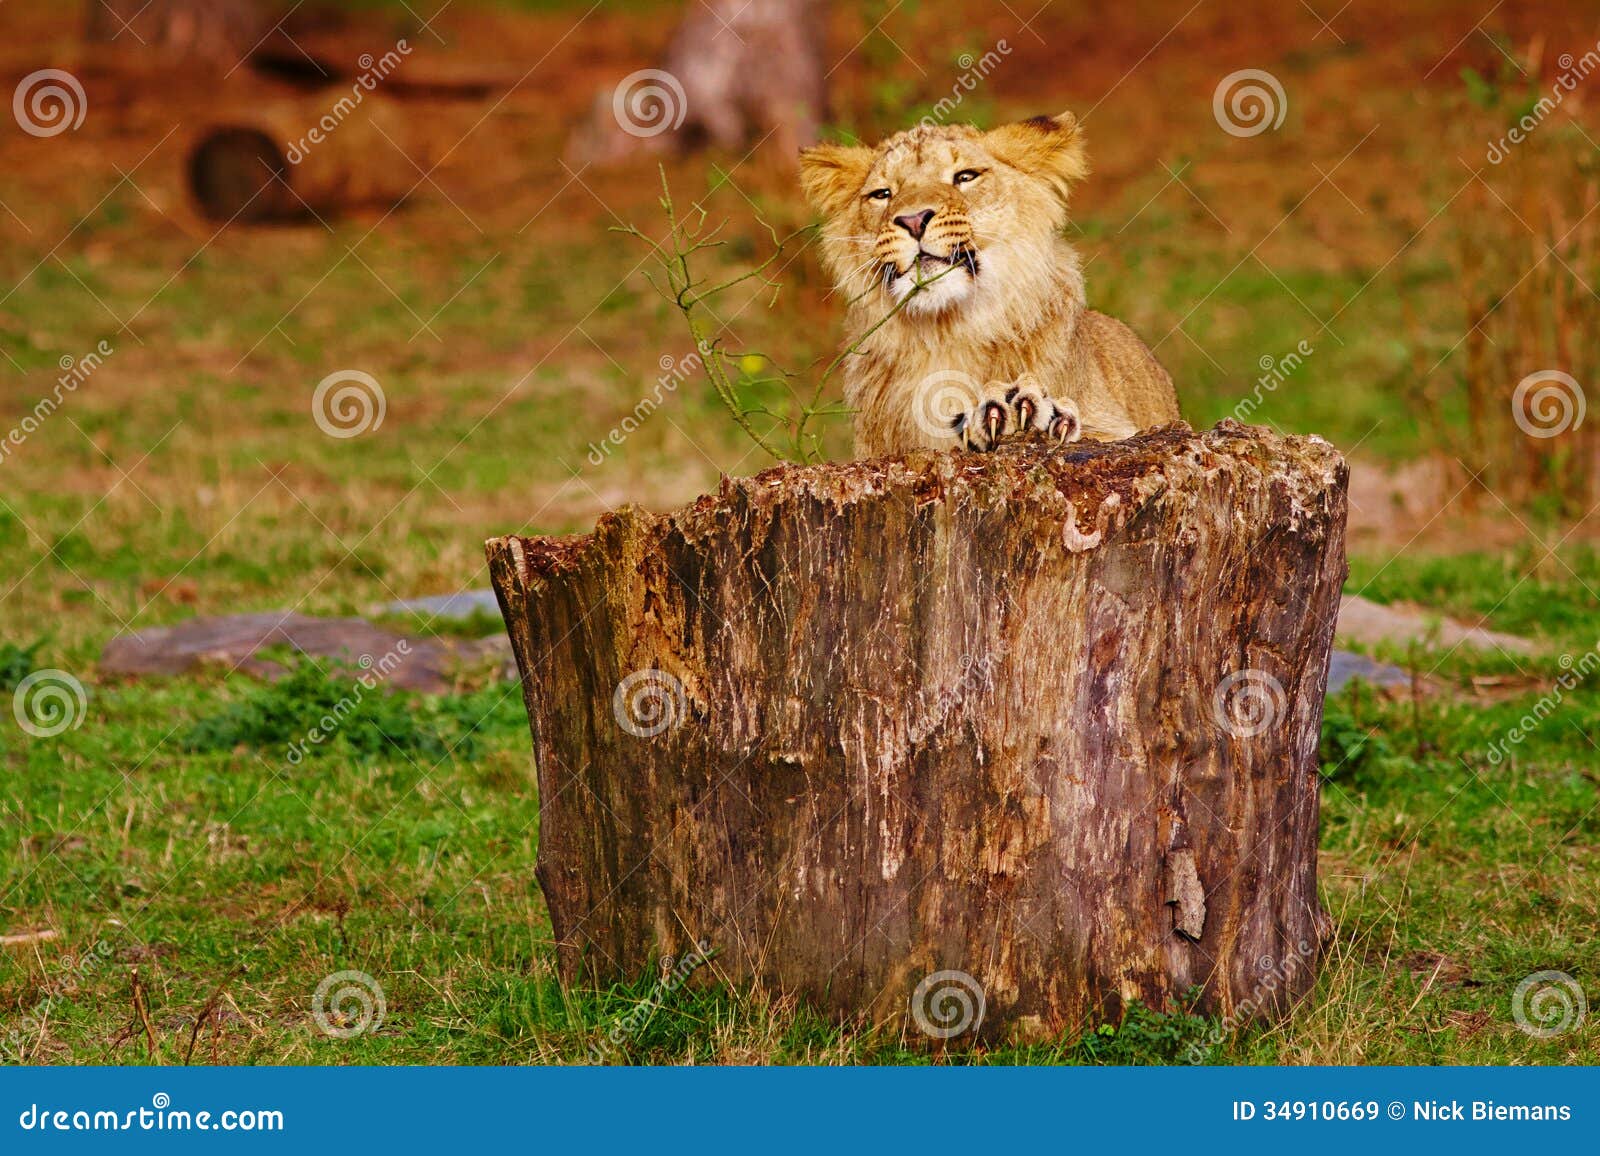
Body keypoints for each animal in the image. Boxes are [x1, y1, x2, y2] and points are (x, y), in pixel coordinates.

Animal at [798, 112, 1179, 457]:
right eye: (882, 194)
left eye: (965, 177)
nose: (913, 219)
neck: (945, 332)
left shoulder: (1117, 429)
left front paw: (1020, 408)